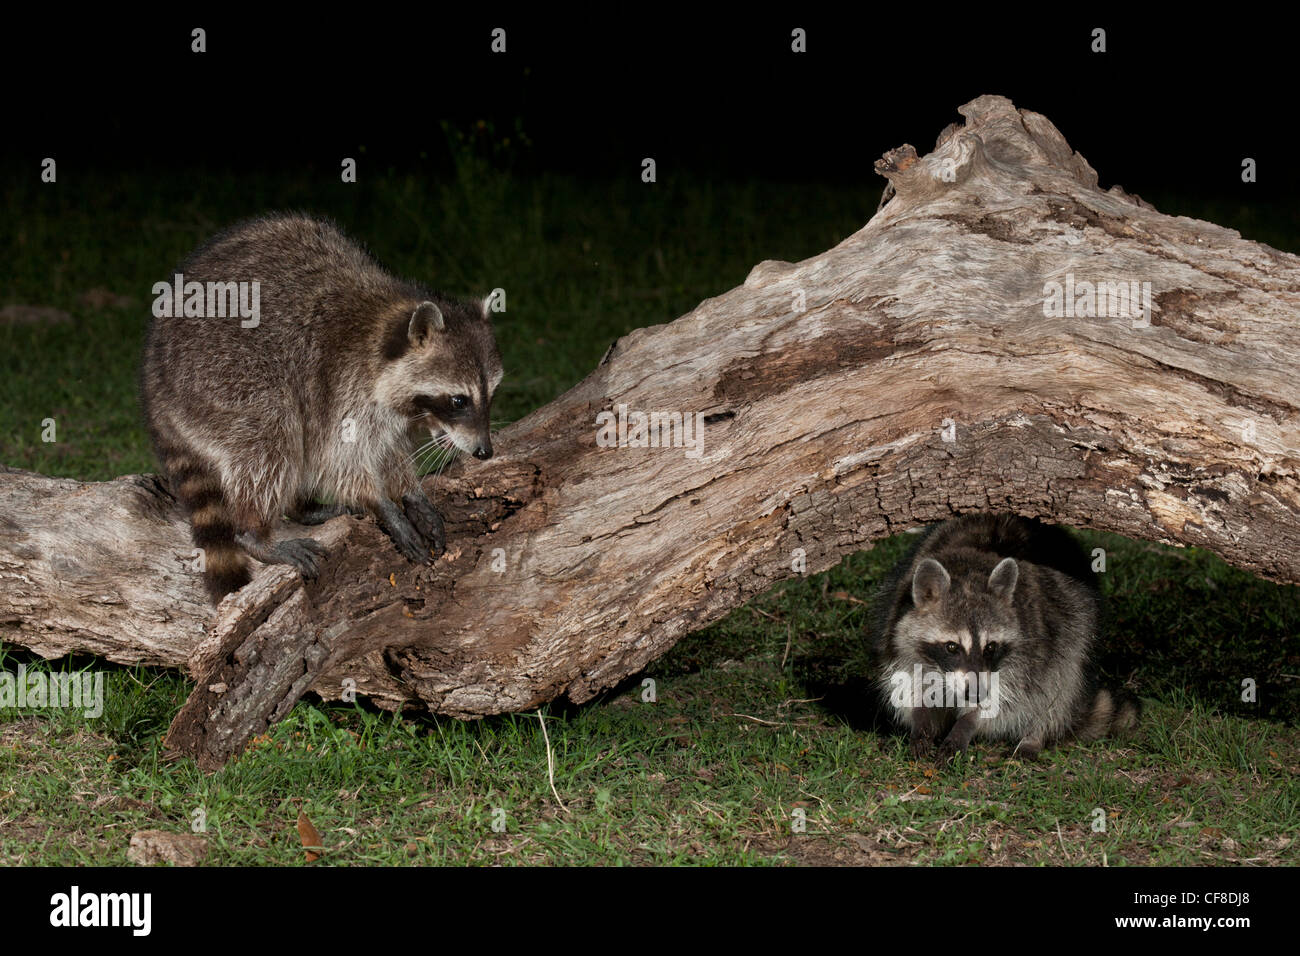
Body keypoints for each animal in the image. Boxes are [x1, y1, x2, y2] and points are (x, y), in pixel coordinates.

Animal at [140, 214, 503, 603]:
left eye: (491, 395)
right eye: (459, 400)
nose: (484, 451)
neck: (385, 324)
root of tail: (153, 384)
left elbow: (389, 448)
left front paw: (409, 491)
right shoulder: (342, 381)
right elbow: (340, 457)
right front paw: (380, 503)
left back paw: (302, 507)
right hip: (216, 375)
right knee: (270, 434)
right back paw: (254, 531)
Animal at [870, 514, 1138, 761]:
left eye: (990, 647)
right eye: (952, 647)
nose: (975, 693)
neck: (968, 570)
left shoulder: (1027, 649)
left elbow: (1008, 698)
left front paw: (967, 723)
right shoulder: (896, 629)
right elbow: (907, 682)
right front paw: (921, 721)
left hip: (1077, 626)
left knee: (1062, 681)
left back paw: (1034, 735)